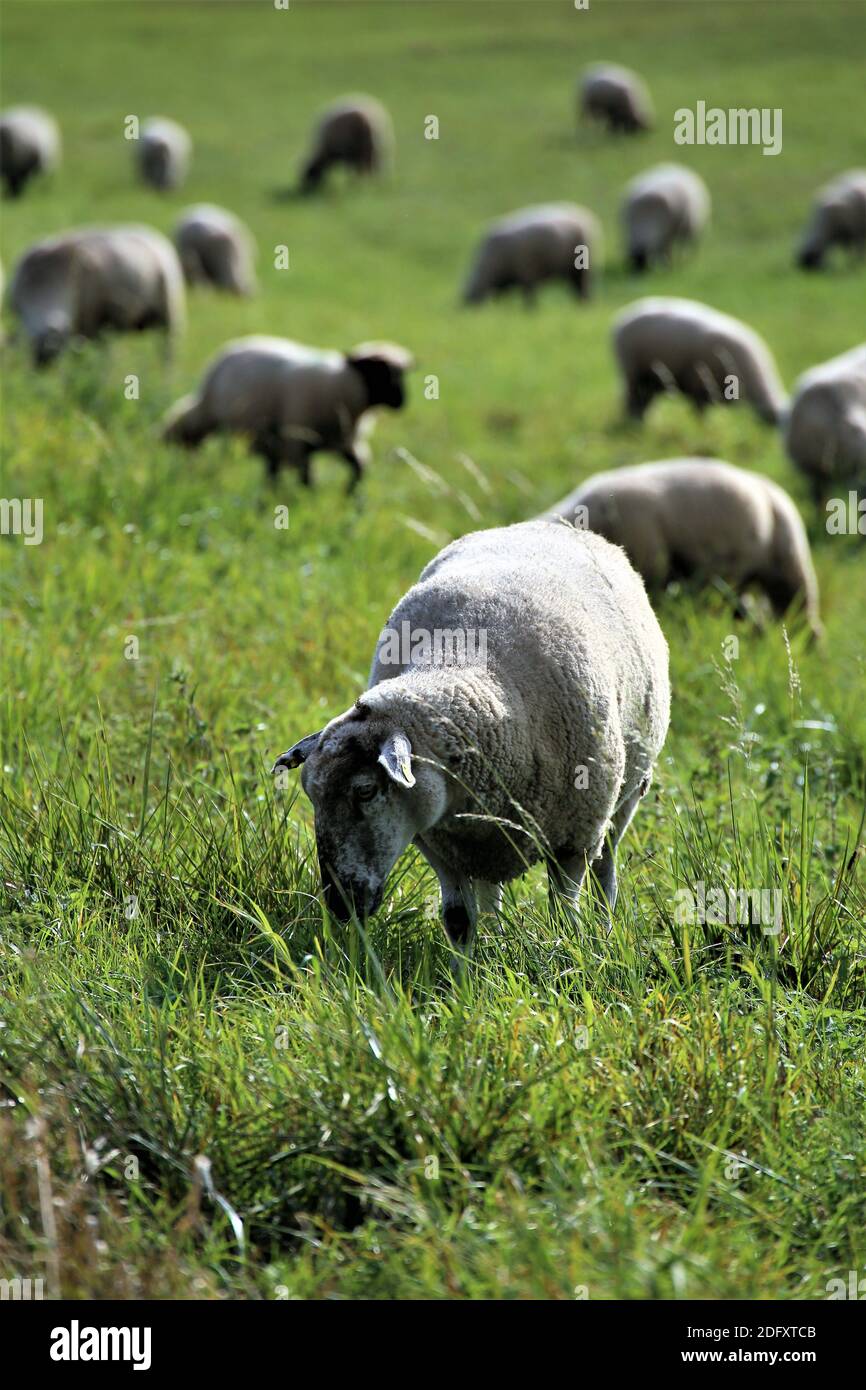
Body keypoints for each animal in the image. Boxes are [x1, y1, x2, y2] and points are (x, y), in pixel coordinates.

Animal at [9, 225, 185, 366]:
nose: (43, 356)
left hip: (169, 316)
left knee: (167, 352)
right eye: (19, 308)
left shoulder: (95, 323)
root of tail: (154, 236)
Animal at [162, 335, 412, 489]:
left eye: (402, 374)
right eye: (379, 372)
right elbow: (307, 481)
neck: (344, 384)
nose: (402, 402)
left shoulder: (344, 443)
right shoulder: (298, 443)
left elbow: (357, 470)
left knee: (270, 468)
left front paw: (349, 497)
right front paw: (309, 504)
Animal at [272, 518, 670, 955]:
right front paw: (465, 971)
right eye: (311, 795)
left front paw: (570, 950)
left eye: (365, 791)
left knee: (606, 870)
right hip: (483, 840)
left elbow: (564, 912)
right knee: (490, 891)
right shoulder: (441, 844)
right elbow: (458, 920)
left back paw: (605, 928)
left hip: (624, 797)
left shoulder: (573, 839)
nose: (339, 906)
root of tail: (551, 523)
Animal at [462, 203, 602, 305]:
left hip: (581, 270)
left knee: (582, 290)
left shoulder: (527, 274)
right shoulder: (506, 281)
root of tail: (583, 213)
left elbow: (529, 296)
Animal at [613, 296, 787, 425]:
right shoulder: (698, 383)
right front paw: (702, 426)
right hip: (632, 372)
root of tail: (621, 319)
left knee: (644, 400)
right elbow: (700, 411)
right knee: (633, 400)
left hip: (650, 378)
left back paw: (647, 421)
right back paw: (636, 423)